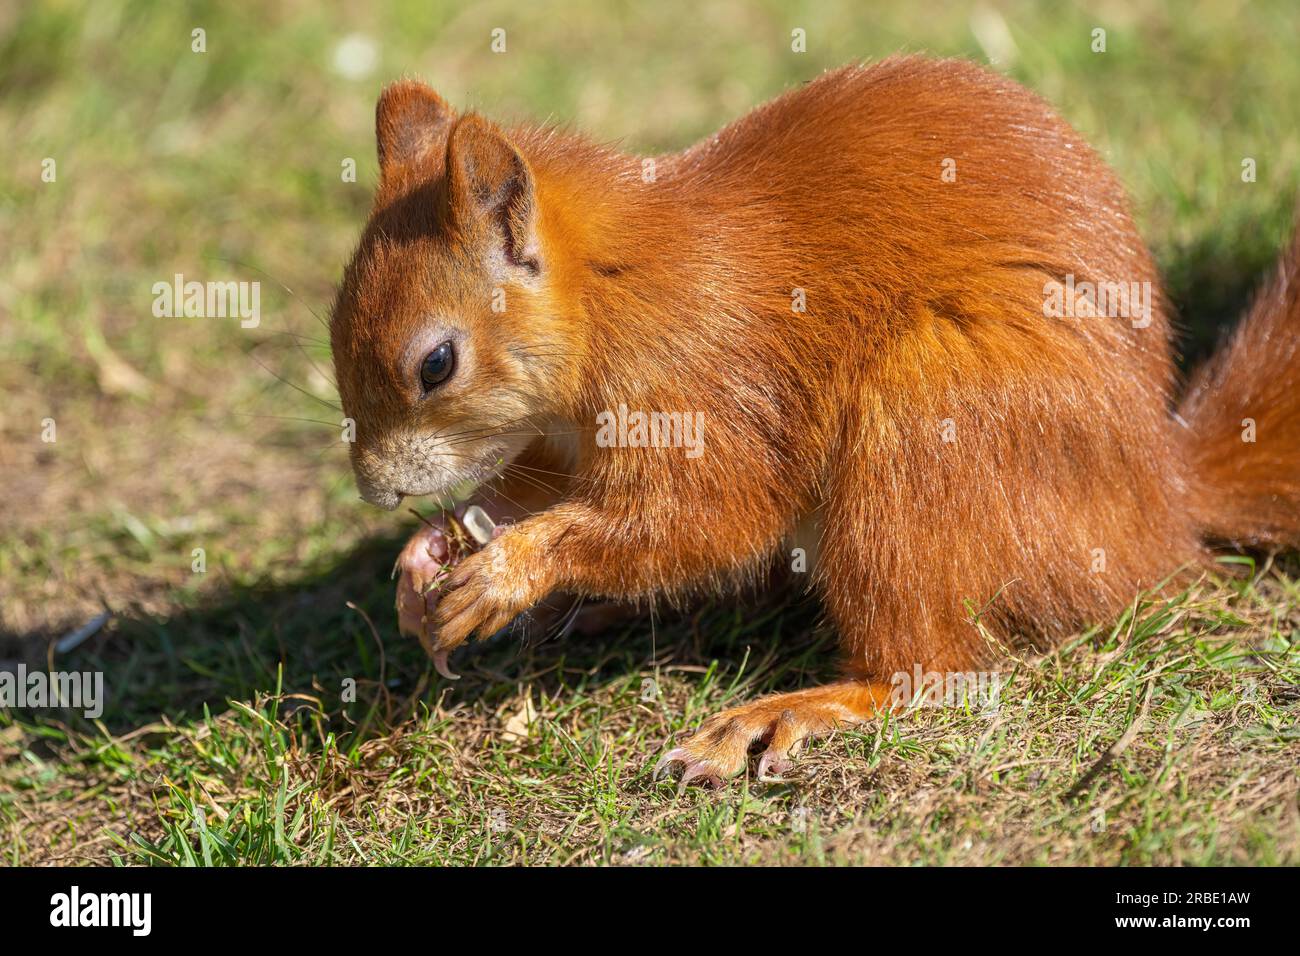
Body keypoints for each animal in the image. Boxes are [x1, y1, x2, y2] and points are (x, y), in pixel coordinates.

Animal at [329, 56, 1300, 786]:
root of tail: (1160, 506)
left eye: (436, 364)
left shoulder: (705, 381)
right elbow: (544, 487)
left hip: (933, 413)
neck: (616, 294)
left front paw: (507, 572)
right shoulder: (565, 435)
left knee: (930, 666)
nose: (372, 490)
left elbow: (710, 516)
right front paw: (430, 554)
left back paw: (794, 709)